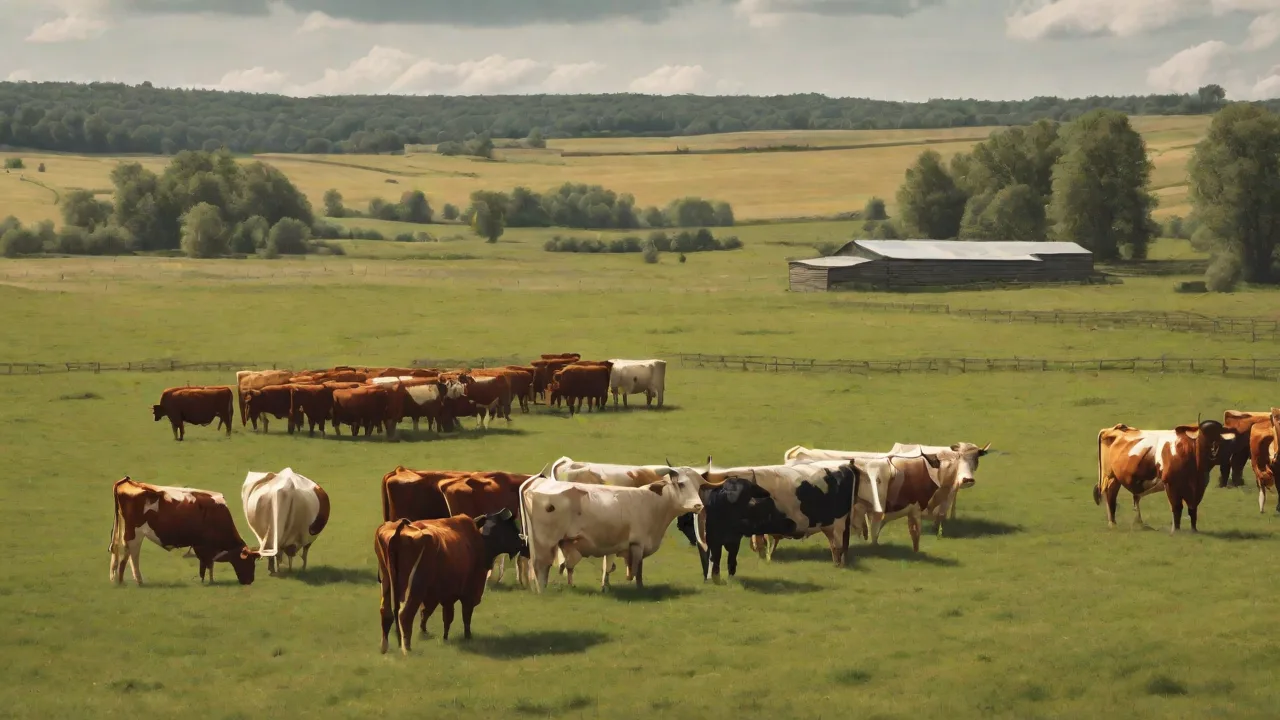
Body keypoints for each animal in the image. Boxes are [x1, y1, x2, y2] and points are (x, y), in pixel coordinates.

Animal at [109, 477, 261, 585]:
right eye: (249, 562)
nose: (250, 581)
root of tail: (130, 482)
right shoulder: (202, 545)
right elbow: (206, 563)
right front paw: (205, 581)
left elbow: (209, 564)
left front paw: (210, 579)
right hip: (135, 533)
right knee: (132, 553)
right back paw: (134, 580)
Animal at [375, 510, 526, 655]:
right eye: (511, 527)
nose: (523, 543)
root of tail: (400, 528)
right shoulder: (468, 592)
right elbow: (464, 615)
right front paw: (467, 636)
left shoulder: (441, 595)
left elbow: (434, 614)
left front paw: (437, 635)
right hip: (415, 588)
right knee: (405, 614)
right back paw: (407, 649)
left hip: (387, 580)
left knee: (386, 612)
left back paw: (385, 646)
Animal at [519, 465, 707, 592]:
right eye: (681, 484)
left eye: (699, 486)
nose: (699, 505)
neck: (653, 501)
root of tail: (533, 486)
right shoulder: (637, 544)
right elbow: (636, 570)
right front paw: (639, 588)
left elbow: (613, 567)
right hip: (544, 543)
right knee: (539, 567)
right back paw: (542, 591)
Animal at [1095, 420, 1235, 533]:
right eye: (1203, 437)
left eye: (1219, 436)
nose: (1214, 451)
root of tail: (1115, 429)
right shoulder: (1171, 485)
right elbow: (1177, 507)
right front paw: (1176, 530)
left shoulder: (1198, 487)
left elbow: (1192, 508)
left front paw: (1194, 530)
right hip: (1110, 477)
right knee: (1111, 497)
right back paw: (1112, 523)